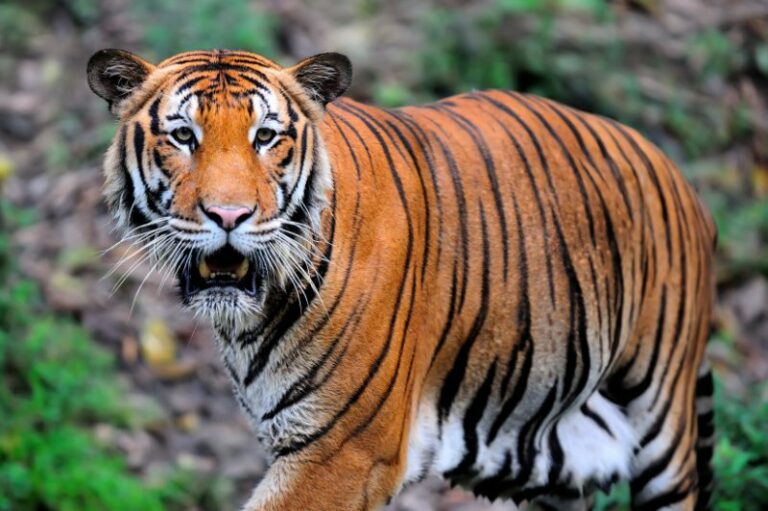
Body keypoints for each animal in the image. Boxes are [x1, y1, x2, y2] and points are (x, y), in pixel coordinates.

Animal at [87, 48, 717, 511]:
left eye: (265, 137)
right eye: (183, 137)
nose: (228, 216)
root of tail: (675, 172)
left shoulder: (346, 452)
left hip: (663, 422)